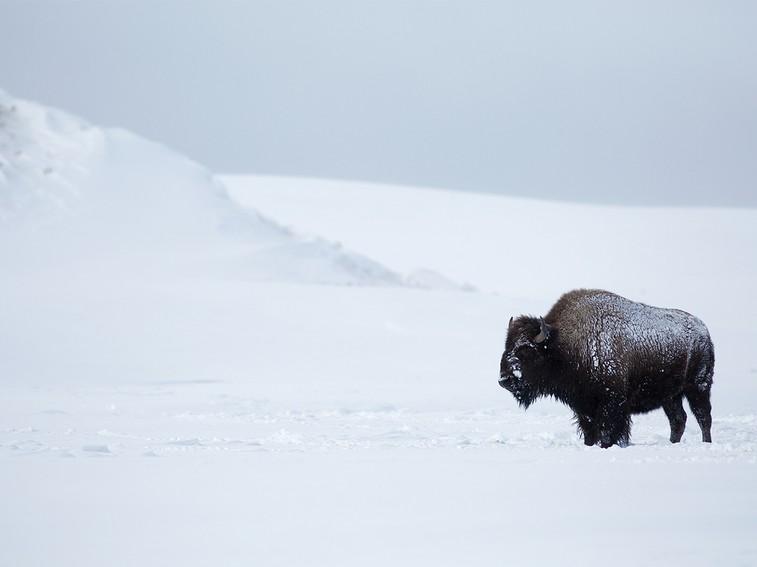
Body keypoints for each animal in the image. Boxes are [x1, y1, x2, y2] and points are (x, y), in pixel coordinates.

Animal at [499, 289, 714, 448]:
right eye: (507, 346)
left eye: (527, 350)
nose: (504, 379)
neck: (562, 345)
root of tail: (704, 330)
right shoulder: (584, 407)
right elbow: (589, 432)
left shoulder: (612, 405)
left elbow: (607, 432)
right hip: (670, 396)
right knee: (678, 420)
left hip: (698, 387)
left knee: (703, 417)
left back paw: (706, 443)